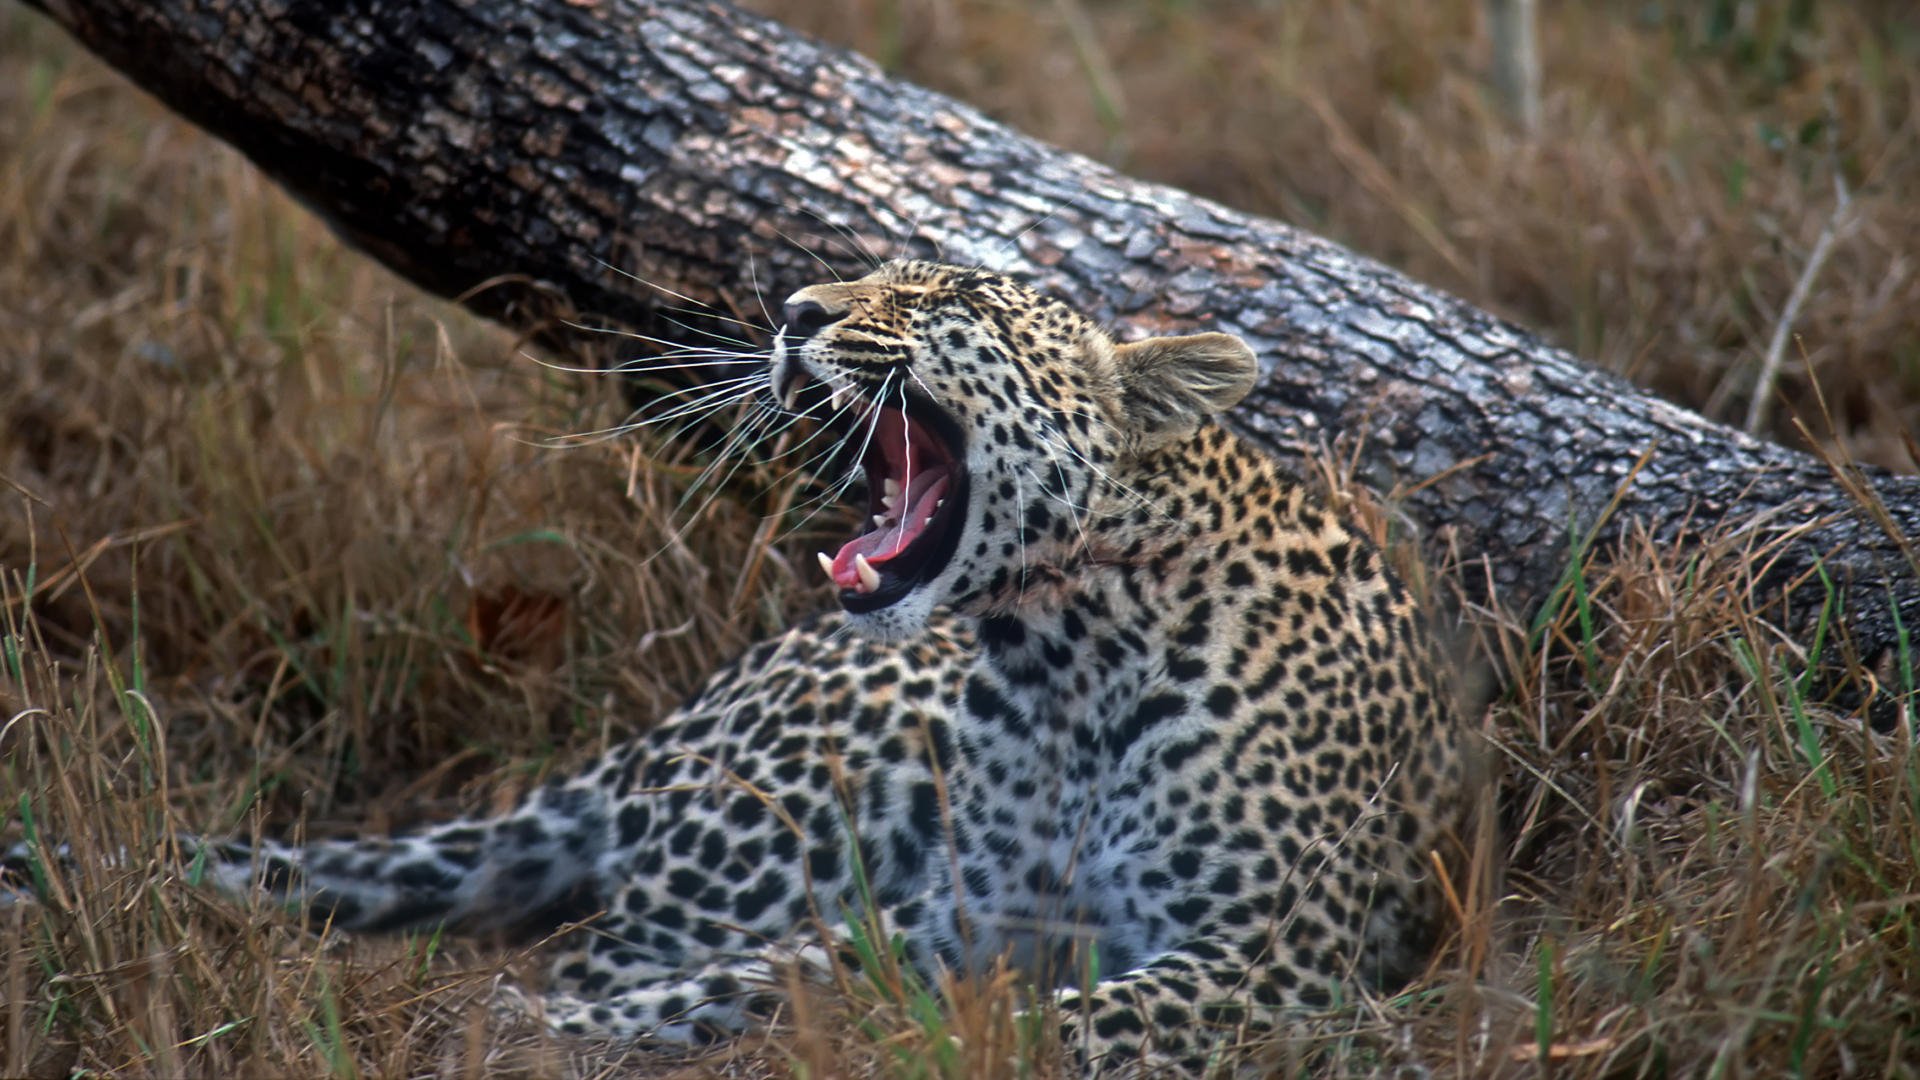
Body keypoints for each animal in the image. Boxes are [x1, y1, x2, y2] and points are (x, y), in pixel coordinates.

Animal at [10, 260, 1468, 1074]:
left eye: (946, 299)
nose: (791, 310)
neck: (1067, 663)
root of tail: (668, 726)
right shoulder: (968, 913)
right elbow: (802, 978)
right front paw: (558, 1034)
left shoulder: (1280, 953)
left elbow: (1069, 1023)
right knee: (616, 947)